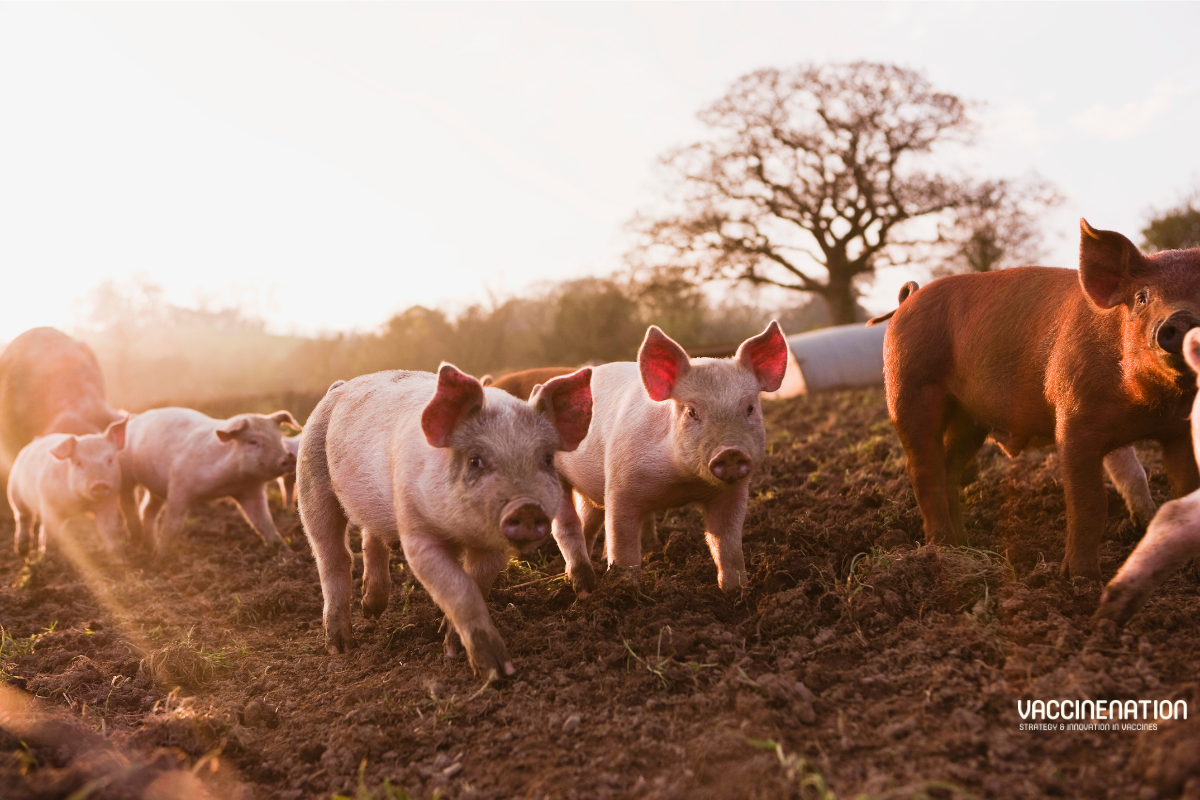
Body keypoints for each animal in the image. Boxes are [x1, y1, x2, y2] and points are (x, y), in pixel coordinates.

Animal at [9, 417, 129, 559]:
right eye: (78, 463)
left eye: (110, 460)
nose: (99, 483)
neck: (79, 502)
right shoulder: (48, 504)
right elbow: (50, 532)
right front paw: (47, 555)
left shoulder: (108, 502)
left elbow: (108, 530)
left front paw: (118, 557)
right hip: (15, 495)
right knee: (24, 519)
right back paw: (22, 551)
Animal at [118, 408, 302, 555]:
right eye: (252, 441)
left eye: (279, 438)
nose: (288, 458)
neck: (230, 481)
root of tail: (135, 418)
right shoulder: (179, 485)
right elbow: (173, 525)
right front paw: (163, 558)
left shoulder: (251, 491)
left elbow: (265, 524)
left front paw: (289, 554)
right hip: (125, 475)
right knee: (128, 503)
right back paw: (139, 540)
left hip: (156, 488)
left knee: (147, 510)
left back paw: (151, 546)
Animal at [298, 363, 592, 676]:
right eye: (475, 460)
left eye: (547, 459)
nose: (526, 507)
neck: (460, 532)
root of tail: (339, 387)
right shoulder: (417, 532)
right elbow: (459, 588)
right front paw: (496, 671)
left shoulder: (492, 546)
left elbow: (477, 584)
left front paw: (452, 646)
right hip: (311, 483)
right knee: (333, 556)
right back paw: (339, 647)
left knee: (371, 539)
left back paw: (372, 611)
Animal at [550, 322, 788, 592]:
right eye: (691, 411)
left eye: (749, 408)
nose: (730, 452)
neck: (683, 483)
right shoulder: (620, 488)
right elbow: (623, 546)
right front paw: (626, 587)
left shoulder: (732, 493)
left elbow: (727, 543)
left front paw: (735, 591)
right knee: (567, 527)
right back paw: (582, 585)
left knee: (587, 523)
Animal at [876, 220, 1200, 580]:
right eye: (1142, 297)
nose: (1181, 319)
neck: (1147, 406)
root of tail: (908, 299)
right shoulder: (1073, 421)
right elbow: (1089, 502)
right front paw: (1081, 579)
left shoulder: (1179, 431)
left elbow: (1183, 489)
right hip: (909, 388)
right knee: (923, 467)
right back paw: (942, 548)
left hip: (969, 420)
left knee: (949, 467)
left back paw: (964, 544)